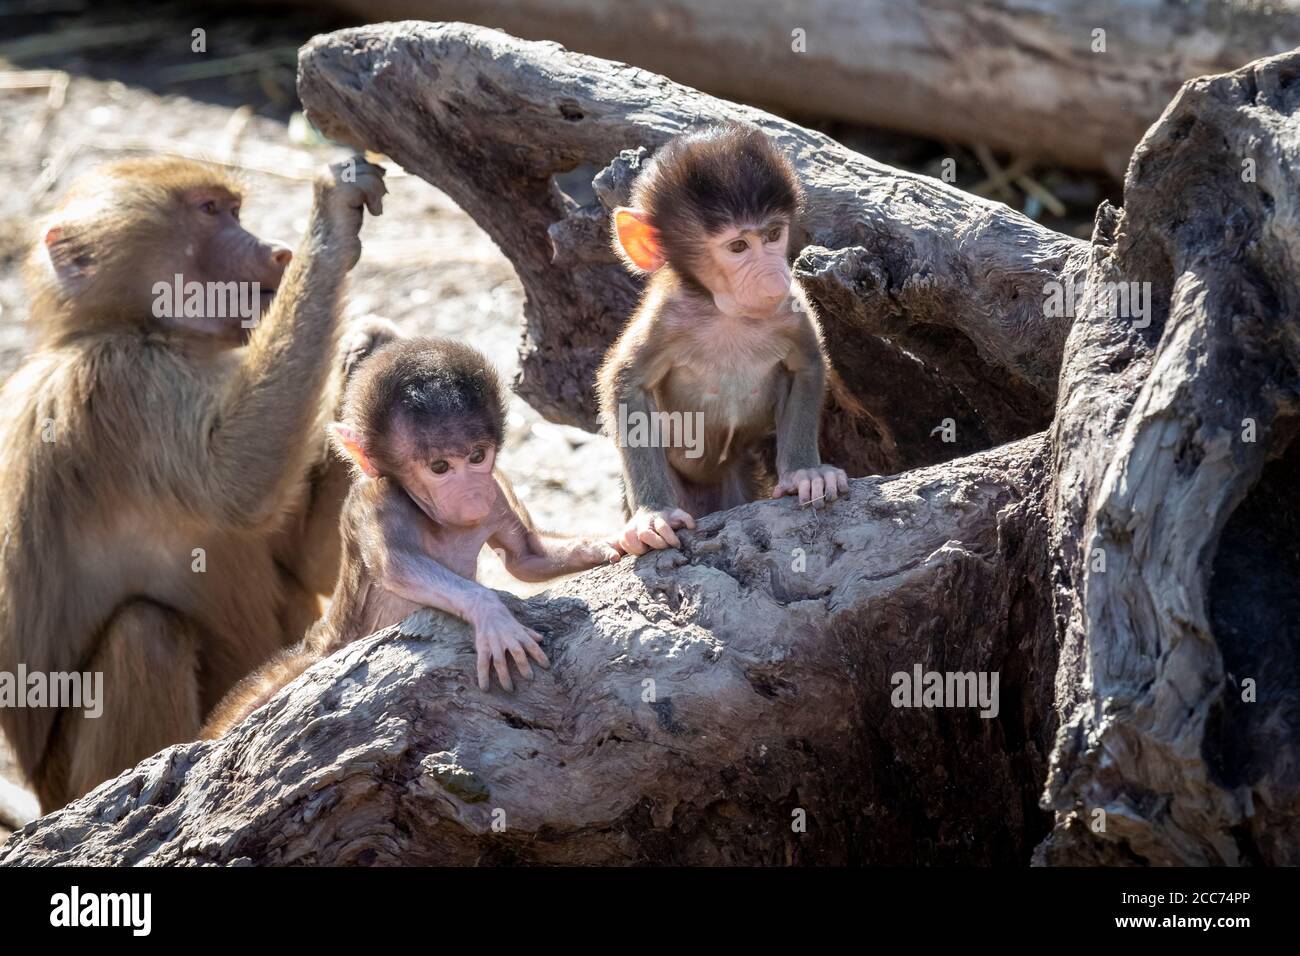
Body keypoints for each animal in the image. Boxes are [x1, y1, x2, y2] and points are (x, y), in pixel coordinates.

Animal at [0, 154, 388, 811]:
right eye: (210, 212)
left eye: (234, 210)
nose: (280, 253)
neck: (137, 327)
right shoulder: (122, 383)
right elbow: (239, 481)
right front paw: (333, 220)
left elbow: (308, 563)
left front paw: (365, 353)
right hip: (76, 778)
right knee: (145, 634)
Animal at [201, 336, 626, 738]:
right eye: (440, 467)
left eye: (477, 457)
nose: (470, 492)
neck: (436, 519)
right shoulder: (378, 500)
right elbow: (396, 566)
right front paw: (489, 611)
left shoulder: (495, 493)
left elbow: (526, 556)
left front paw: (619, 539)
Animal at [597, 122, 849, 556]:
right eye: (738, 246)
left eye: (773, 234)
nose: (775, 277)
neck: (728, 315)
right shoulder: (668, 315)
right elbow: (626, 382)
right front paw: (652, 514)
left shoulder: (791, 308)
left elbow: (807, 364)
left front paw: (806, 472)